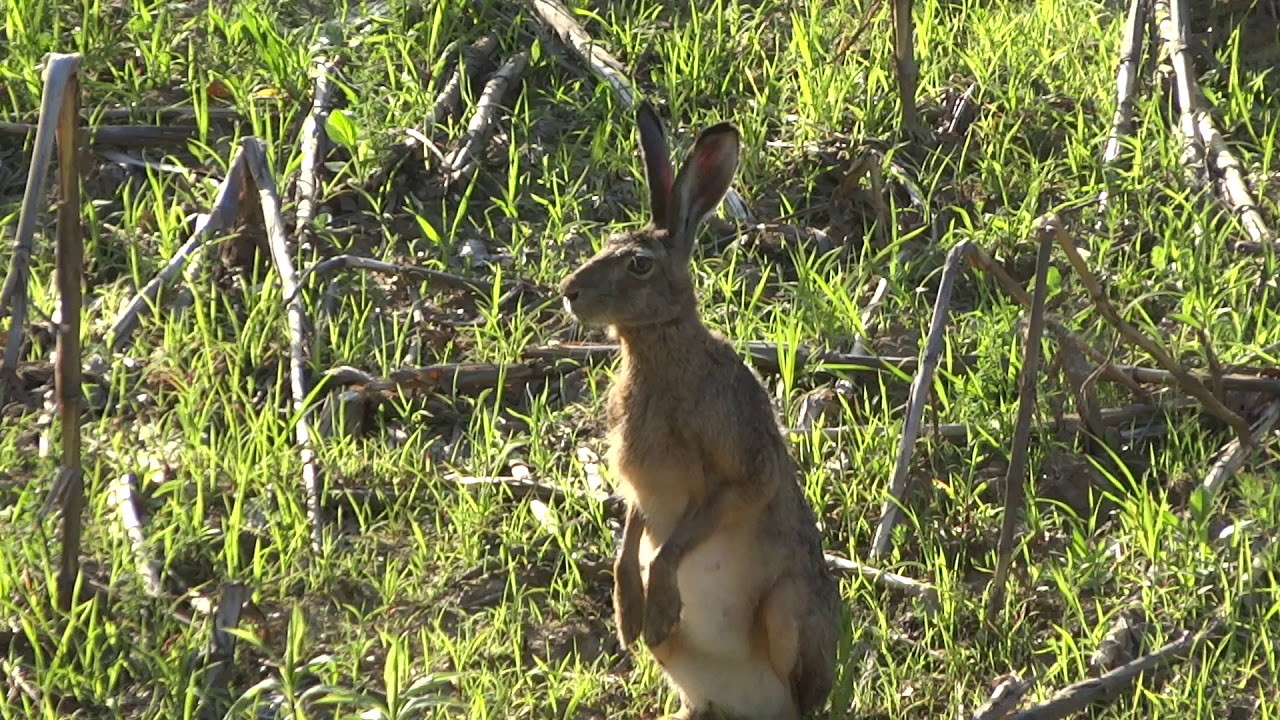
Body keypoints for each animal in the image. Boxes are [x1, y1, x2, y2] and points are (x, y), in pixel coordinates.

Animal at [558, 102, 841, 720]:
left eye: (639, 265)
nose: (569, 291)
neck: (659, 346)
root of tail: (757, 705)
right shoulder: (640, 489)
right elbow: (630, 544)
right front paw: (628, 616)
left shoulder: (740, 475)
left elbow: (672, 548)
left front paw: (657, 607)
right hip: (682, 663)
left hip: (787, 612)